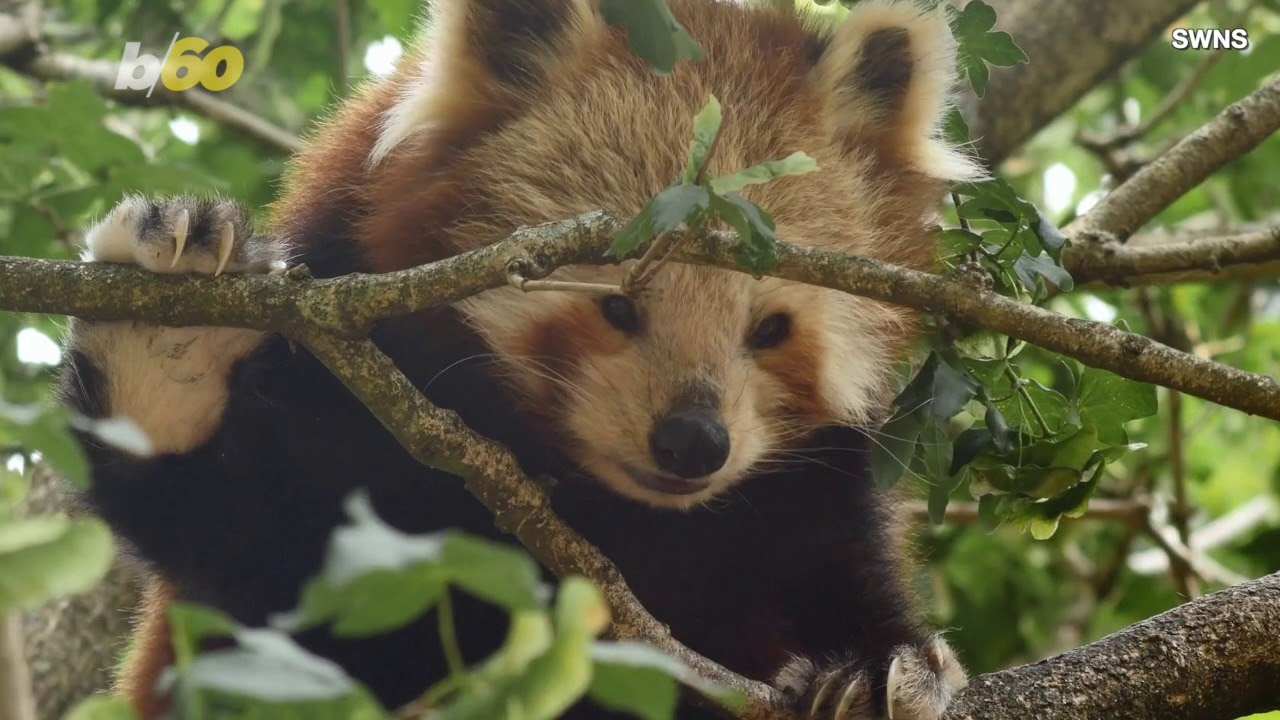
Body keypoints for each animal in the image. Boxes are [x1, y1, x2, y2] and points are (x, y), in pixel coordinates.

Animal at [55, 0, 984, 718]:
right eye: (616, 305)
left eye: (770, 328)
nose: (693, 442)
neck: (614, 508)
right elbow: (246, 544)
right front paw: (168, 343)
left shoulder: (807, 498)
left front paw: (880, 669)